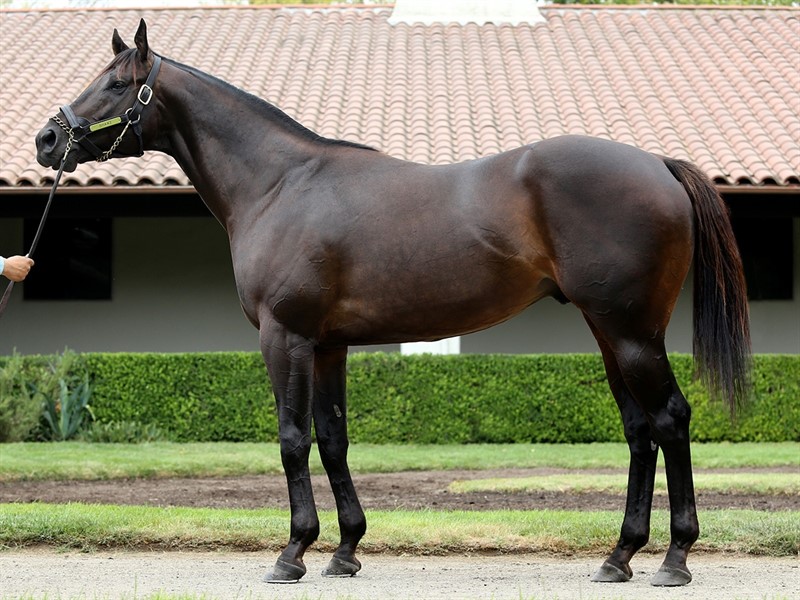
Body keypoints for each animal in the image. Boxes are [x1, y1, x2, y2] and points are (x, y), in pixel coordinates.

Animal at [35, 19, 750, 587]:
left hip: (630, 332)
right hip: (611, 333)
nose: (47, 140)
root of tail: (656, 164)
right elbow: (333, 439)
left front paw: (292, 552)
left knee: (670, 420)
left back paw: (674, 559)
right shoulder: (328, 345)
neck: (279, 184)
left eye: (116, 83)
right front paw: (345, 549)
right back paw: (618, 556)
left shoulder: (284, 336)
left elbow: (292, 438)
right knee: (639, 431)